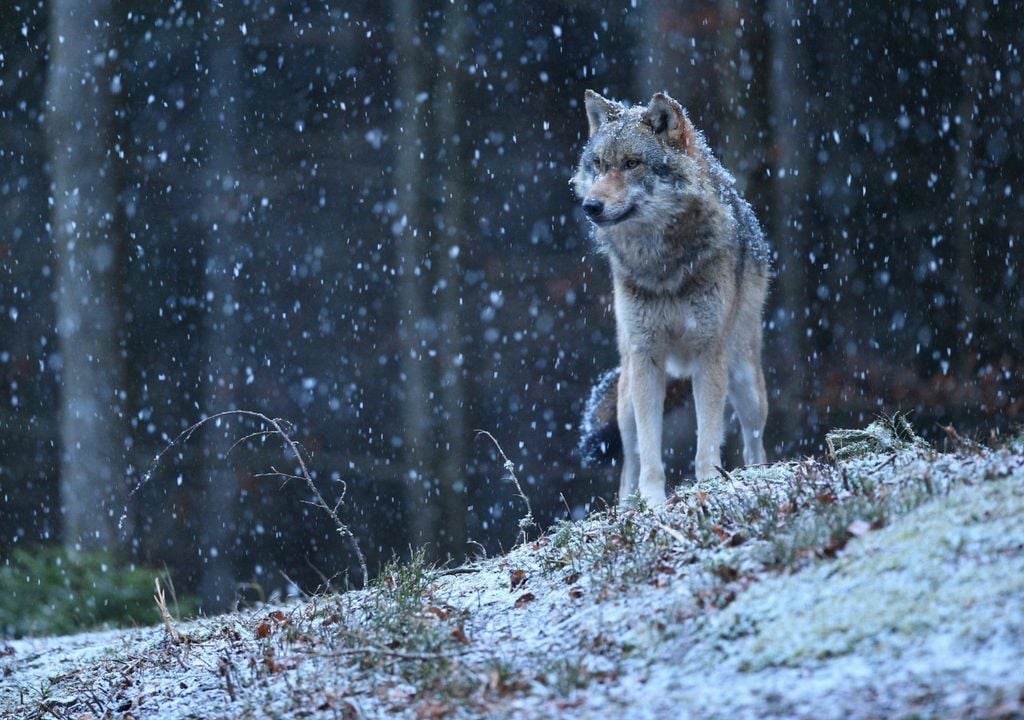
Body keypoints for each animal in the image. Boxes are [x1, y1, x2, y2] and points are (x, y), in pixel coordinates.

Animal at [573, 90, 772, 505]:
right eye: (598, 165)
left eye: (632, 163)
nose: (591, 206)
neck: (661, 264)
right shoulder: (646, 358)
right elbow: (650, 449)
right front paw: (652, 500)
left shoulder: (708, 353)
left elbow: (707, 437)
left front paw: (709, 484)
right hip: (626, 396)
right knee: (629, 460)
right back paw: (627, 504)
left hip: (745, 382)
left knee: (753, 440)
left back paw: (758, 475)